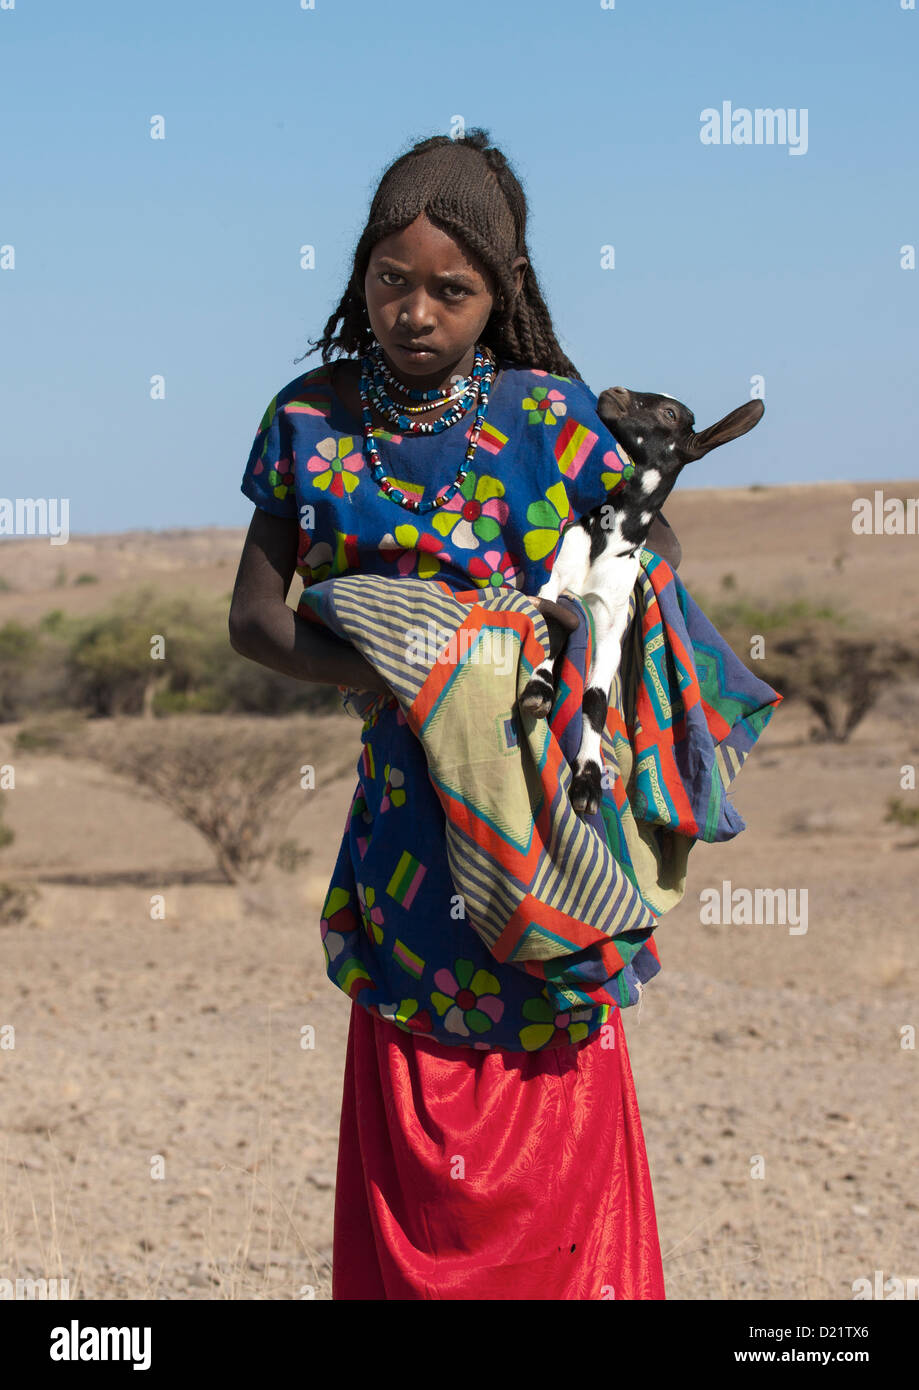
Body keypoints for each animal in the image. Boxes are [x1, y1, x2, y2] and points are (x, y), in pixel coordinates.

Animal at [519, 388, 765, 816]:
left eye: (670, 413)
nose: (613, 392)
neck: (606, 539)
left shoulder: (611, 622)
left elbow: (596, 699)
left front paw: (588, 781)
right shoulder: (554, 578)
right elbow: (552, 623)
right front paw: (539, 687)